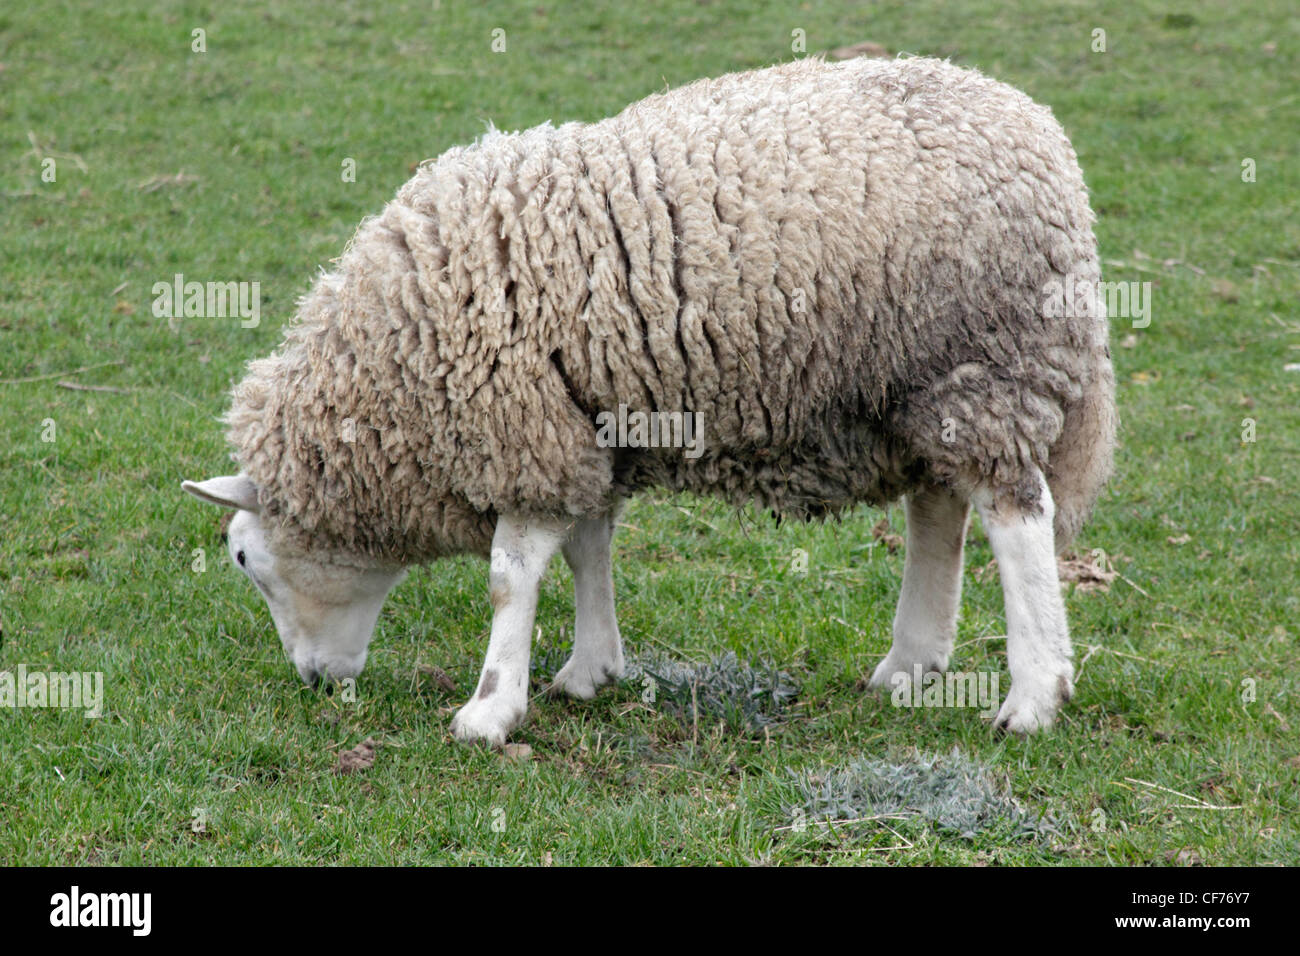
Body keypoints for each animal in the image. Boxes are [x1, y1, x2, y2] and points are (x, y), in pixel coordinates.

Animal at [183, 54, 1116, 745]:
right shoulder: (585, 427)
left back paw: (1033, 697)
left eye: (245, 559)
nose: (313, 682)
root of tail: (1044, 137)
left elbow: (508, 579)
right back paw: (911, 664)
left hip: (985, 362)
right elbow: (586, 549)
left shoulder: (524, 429)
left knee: (1016, 519)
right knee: (938, 511)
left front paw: (489, 709)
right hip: (914, 387)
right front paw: (588, 670)